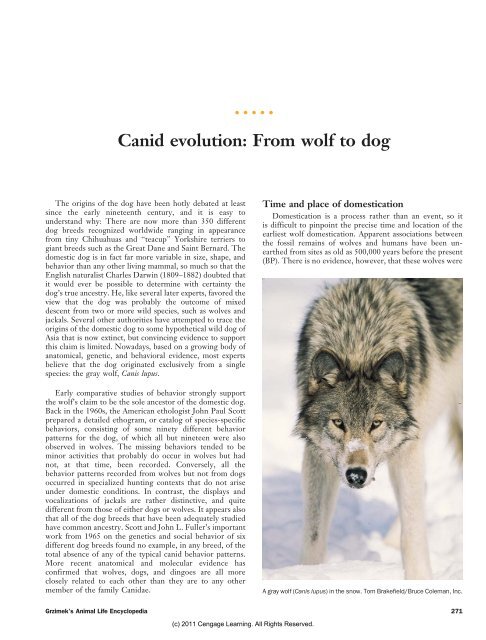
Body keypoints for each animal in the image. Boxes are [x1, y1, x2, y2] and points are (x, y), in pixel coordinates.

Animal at [294, 278, 462, 579]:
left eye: (375, 423)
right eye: (339, 423)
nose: (356, 475)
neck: (359, 340)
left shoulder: (408, 449)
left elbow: (413, 532)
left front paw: (420, 579)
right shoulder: (318, 456)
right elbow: (313, 535)